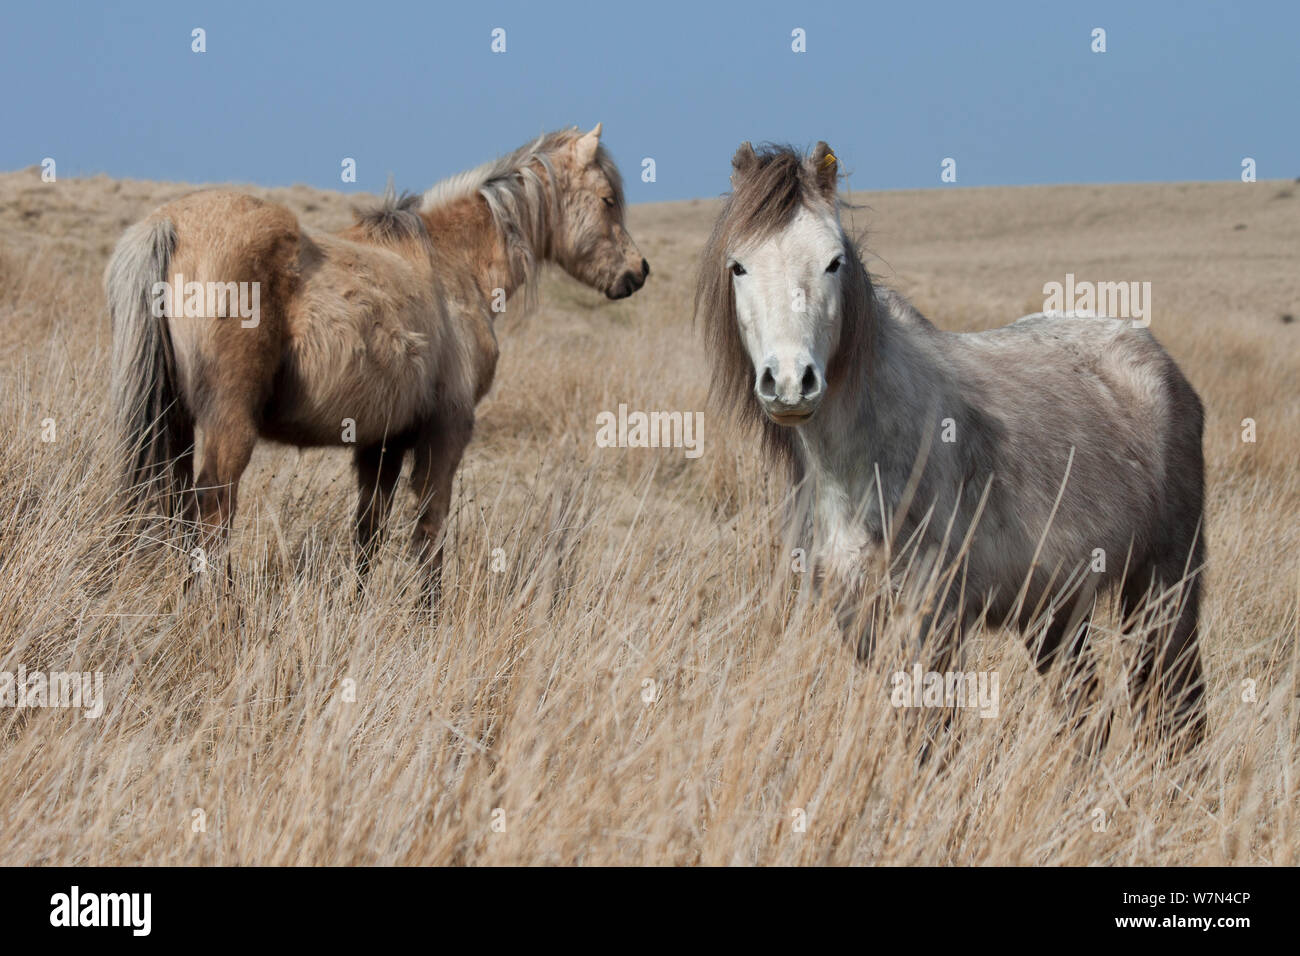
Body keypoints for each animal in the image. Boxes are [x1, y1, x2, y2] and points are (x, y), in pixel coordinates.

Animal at [107, 124, 649, 600]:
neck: (452, 265)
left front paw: (360, 606)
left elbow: (369, 531)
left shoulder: (381, 442)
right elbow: (430, 526)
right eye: (607, 199)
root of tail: (169, 224)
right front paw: (426, 613)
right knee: (213, 509)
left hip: (176, 421)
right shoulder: (446, 431)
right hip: (229, 424)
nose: (637, 272)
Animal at [695, 141, 1207, 748]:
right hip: (1056, 611)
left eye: (833, 261)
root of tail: (1154, 358)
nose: (792, 381)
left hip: (1165, 586)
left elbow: (931, 741)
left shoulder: (932, 619)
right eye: (739, 265)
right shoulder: (860, 616)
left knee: (1177, 709)